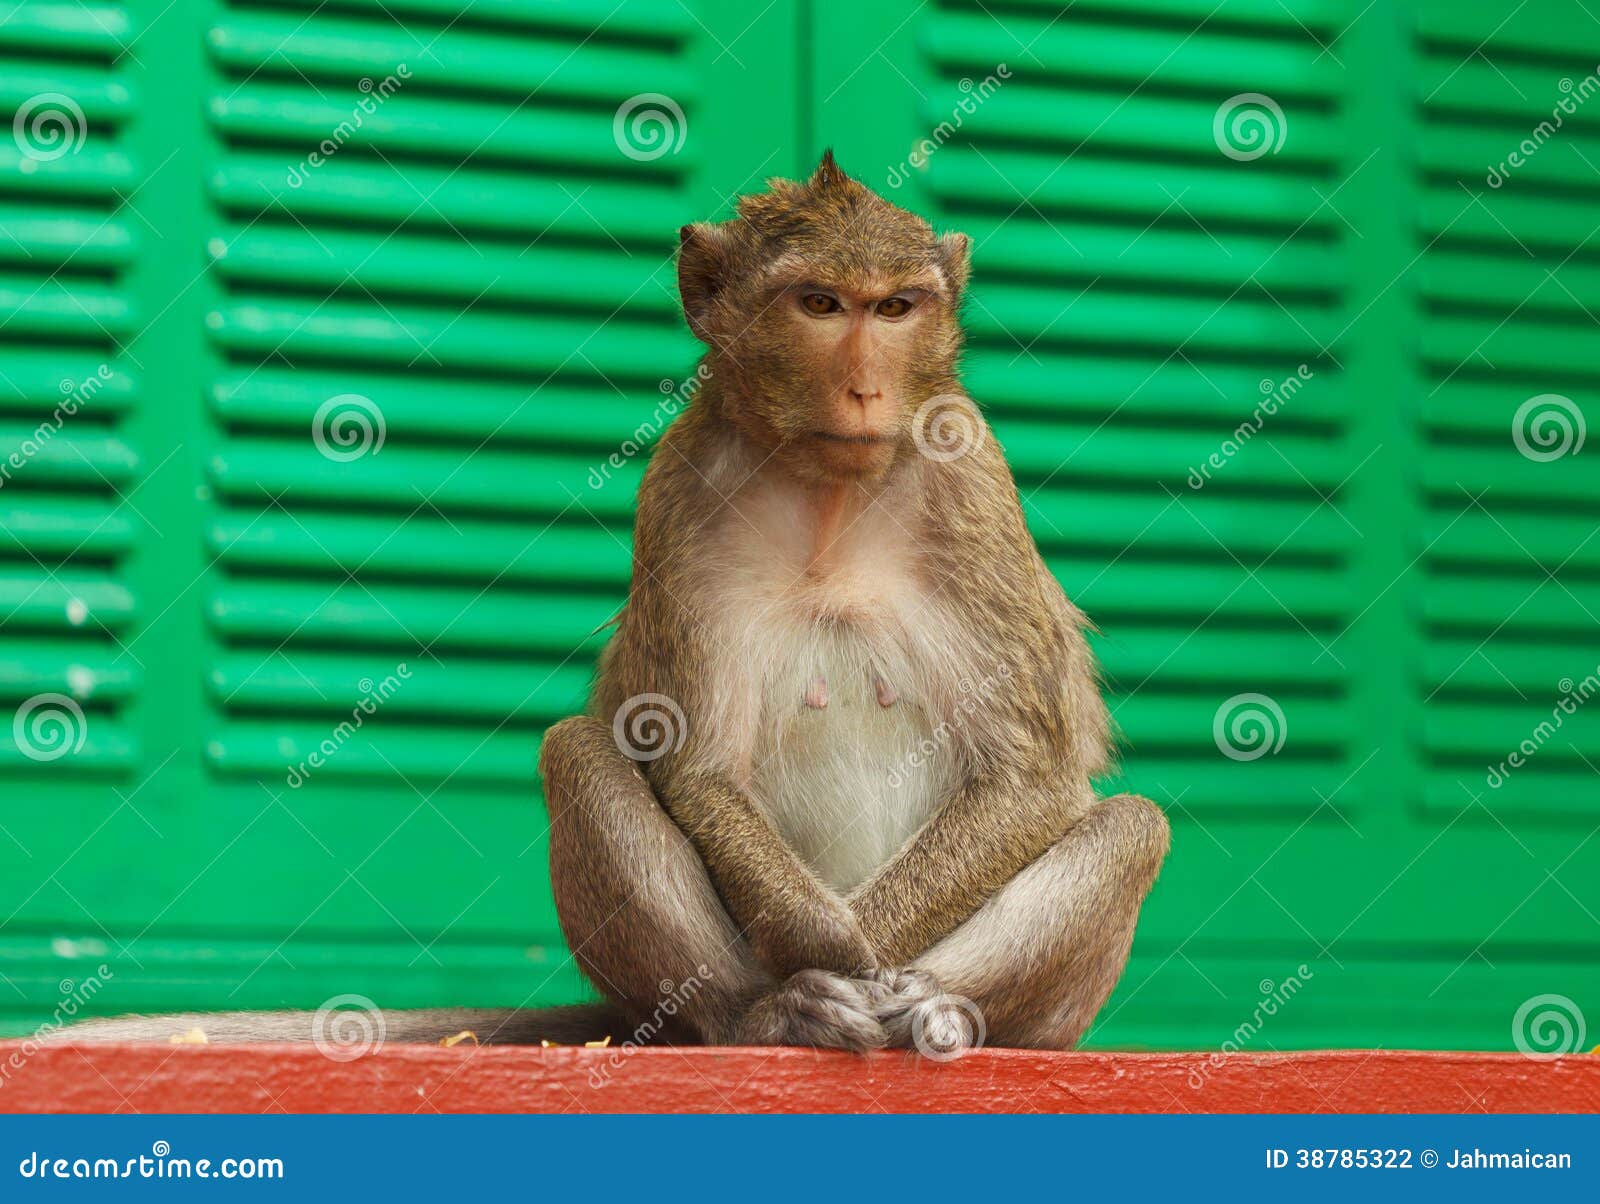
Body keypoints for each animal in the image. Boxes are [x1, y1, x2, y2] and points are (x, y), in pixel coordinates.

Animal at [59, 153, 1168, 1054]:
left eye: (894, 309)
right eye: (819, 304)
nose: (864, 391)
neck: (827, 493)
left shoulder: (971, 477)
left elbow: (1027, 775)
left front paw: (870, 957)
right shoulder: (677, 489)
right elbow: (690, 760)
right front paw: (828, 952)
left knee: (1132, 828)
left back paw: (936, 1010)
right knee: (580, 757)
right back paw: (767, 1012)